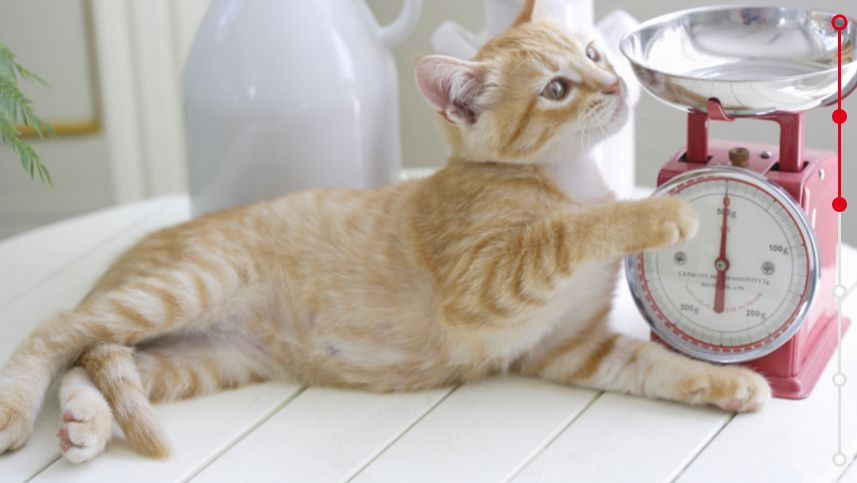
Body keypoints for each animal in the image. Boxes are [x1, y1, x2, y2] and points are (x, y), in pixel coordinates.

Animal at [0, 0, 768, 464]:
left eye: (595, 53)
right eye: (556, 87)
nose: (614, 86)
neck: (564, 176)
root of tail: (130, 253)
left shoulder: (567, 349)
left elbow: (650, 365)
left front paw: (727, 383)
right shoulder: (486, 282)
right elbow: (568, 231)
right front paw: (659, 214)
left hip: (206, 358)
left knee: (96, 360)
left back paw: (85, 421)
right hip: (186, 286)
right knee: (58, 330)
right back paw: (17, 409)